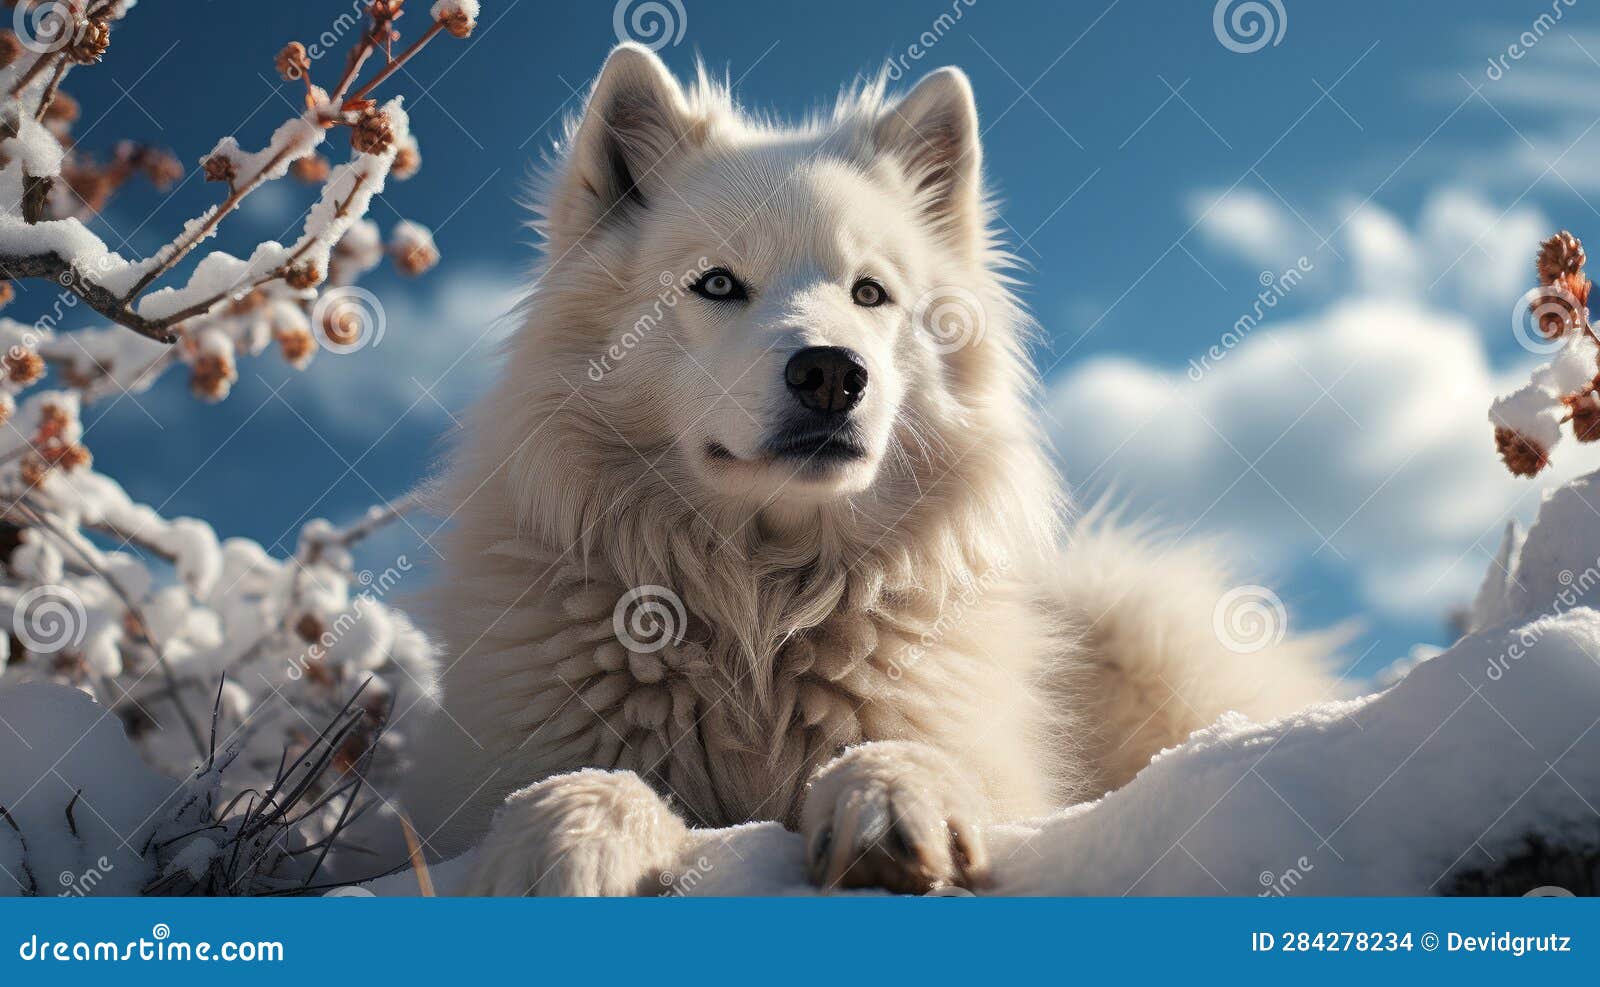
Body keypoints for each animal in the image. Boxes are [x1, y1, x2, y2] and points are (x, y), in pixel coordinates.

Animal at [404, 43, 1340, 895]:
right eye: (716, 283)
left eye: (869, 294)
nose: (831, 373)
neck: (760, 611)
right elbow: (586, 778)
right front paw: (566, 840)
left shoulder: (980, 757)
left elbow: (906, 748)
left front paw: (891, 799)